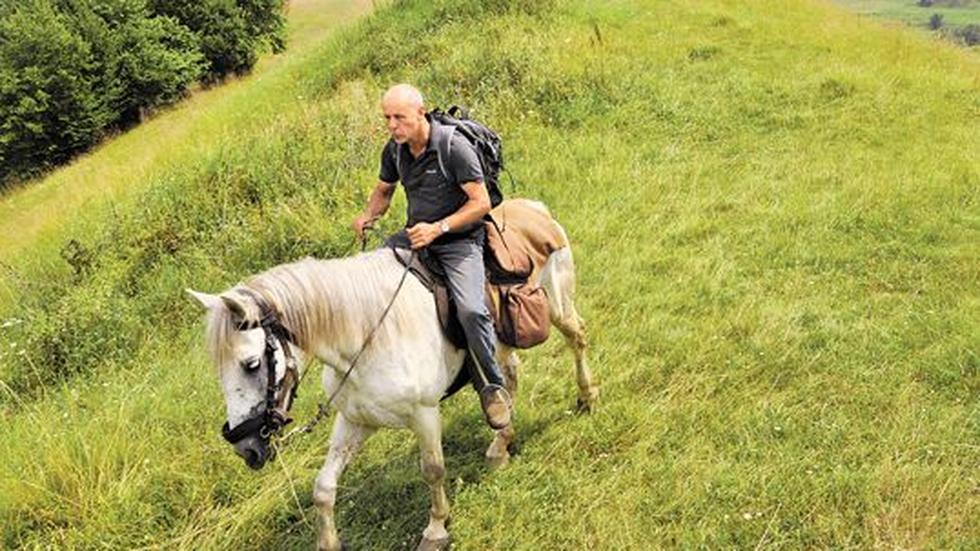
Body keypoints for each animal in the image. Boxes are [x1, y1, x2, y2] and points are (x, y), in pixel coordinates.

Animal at [187, 199, 598, 551]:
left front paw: (436, 529)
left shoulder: (424, 413)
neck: (367, 333)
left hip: (558, 305)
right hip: (499, 345)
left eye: (251, 364)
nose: (246, 448)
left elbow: (432, 469)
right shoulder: (355, 420)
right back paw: (501, 443)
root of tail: (536, 209)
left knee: (576, 338)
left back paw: (586, 397)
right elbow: (323, 488)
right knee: (507, 377)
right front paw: (328, 541)